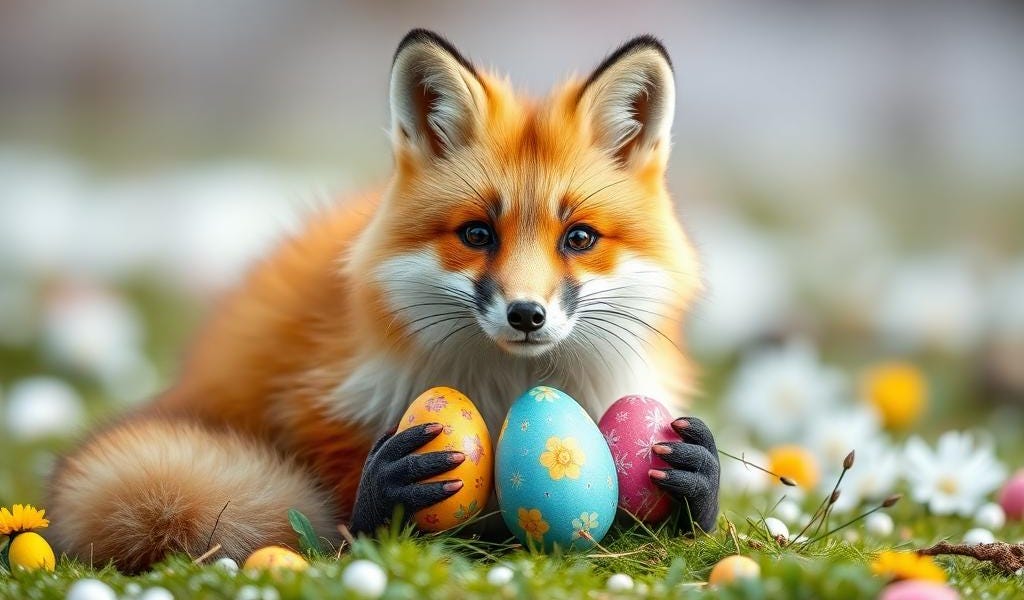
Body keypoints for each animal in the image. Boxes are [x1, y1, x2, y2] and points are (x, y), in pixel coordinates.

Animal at [47, 30, 720, 572]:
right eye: (477, 234)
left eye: (578, 238)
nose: (526, 315)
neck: (509, 394)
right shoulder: (324, 406)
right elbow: (348, 517)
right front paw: (383, 497)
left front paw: (697, 486)